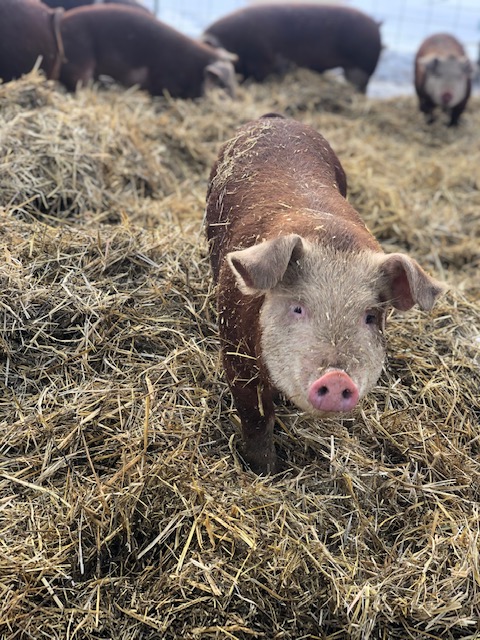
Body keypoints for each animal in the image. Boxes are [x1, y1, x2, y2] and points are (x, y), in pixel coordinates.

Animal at [205, 114, 445, 474]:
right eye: (297, 308)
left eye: (370, 316)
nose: (336, 378)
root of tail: (275, 118)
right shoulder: (235, 353)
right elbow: (255, 416)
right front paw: (268, 471)